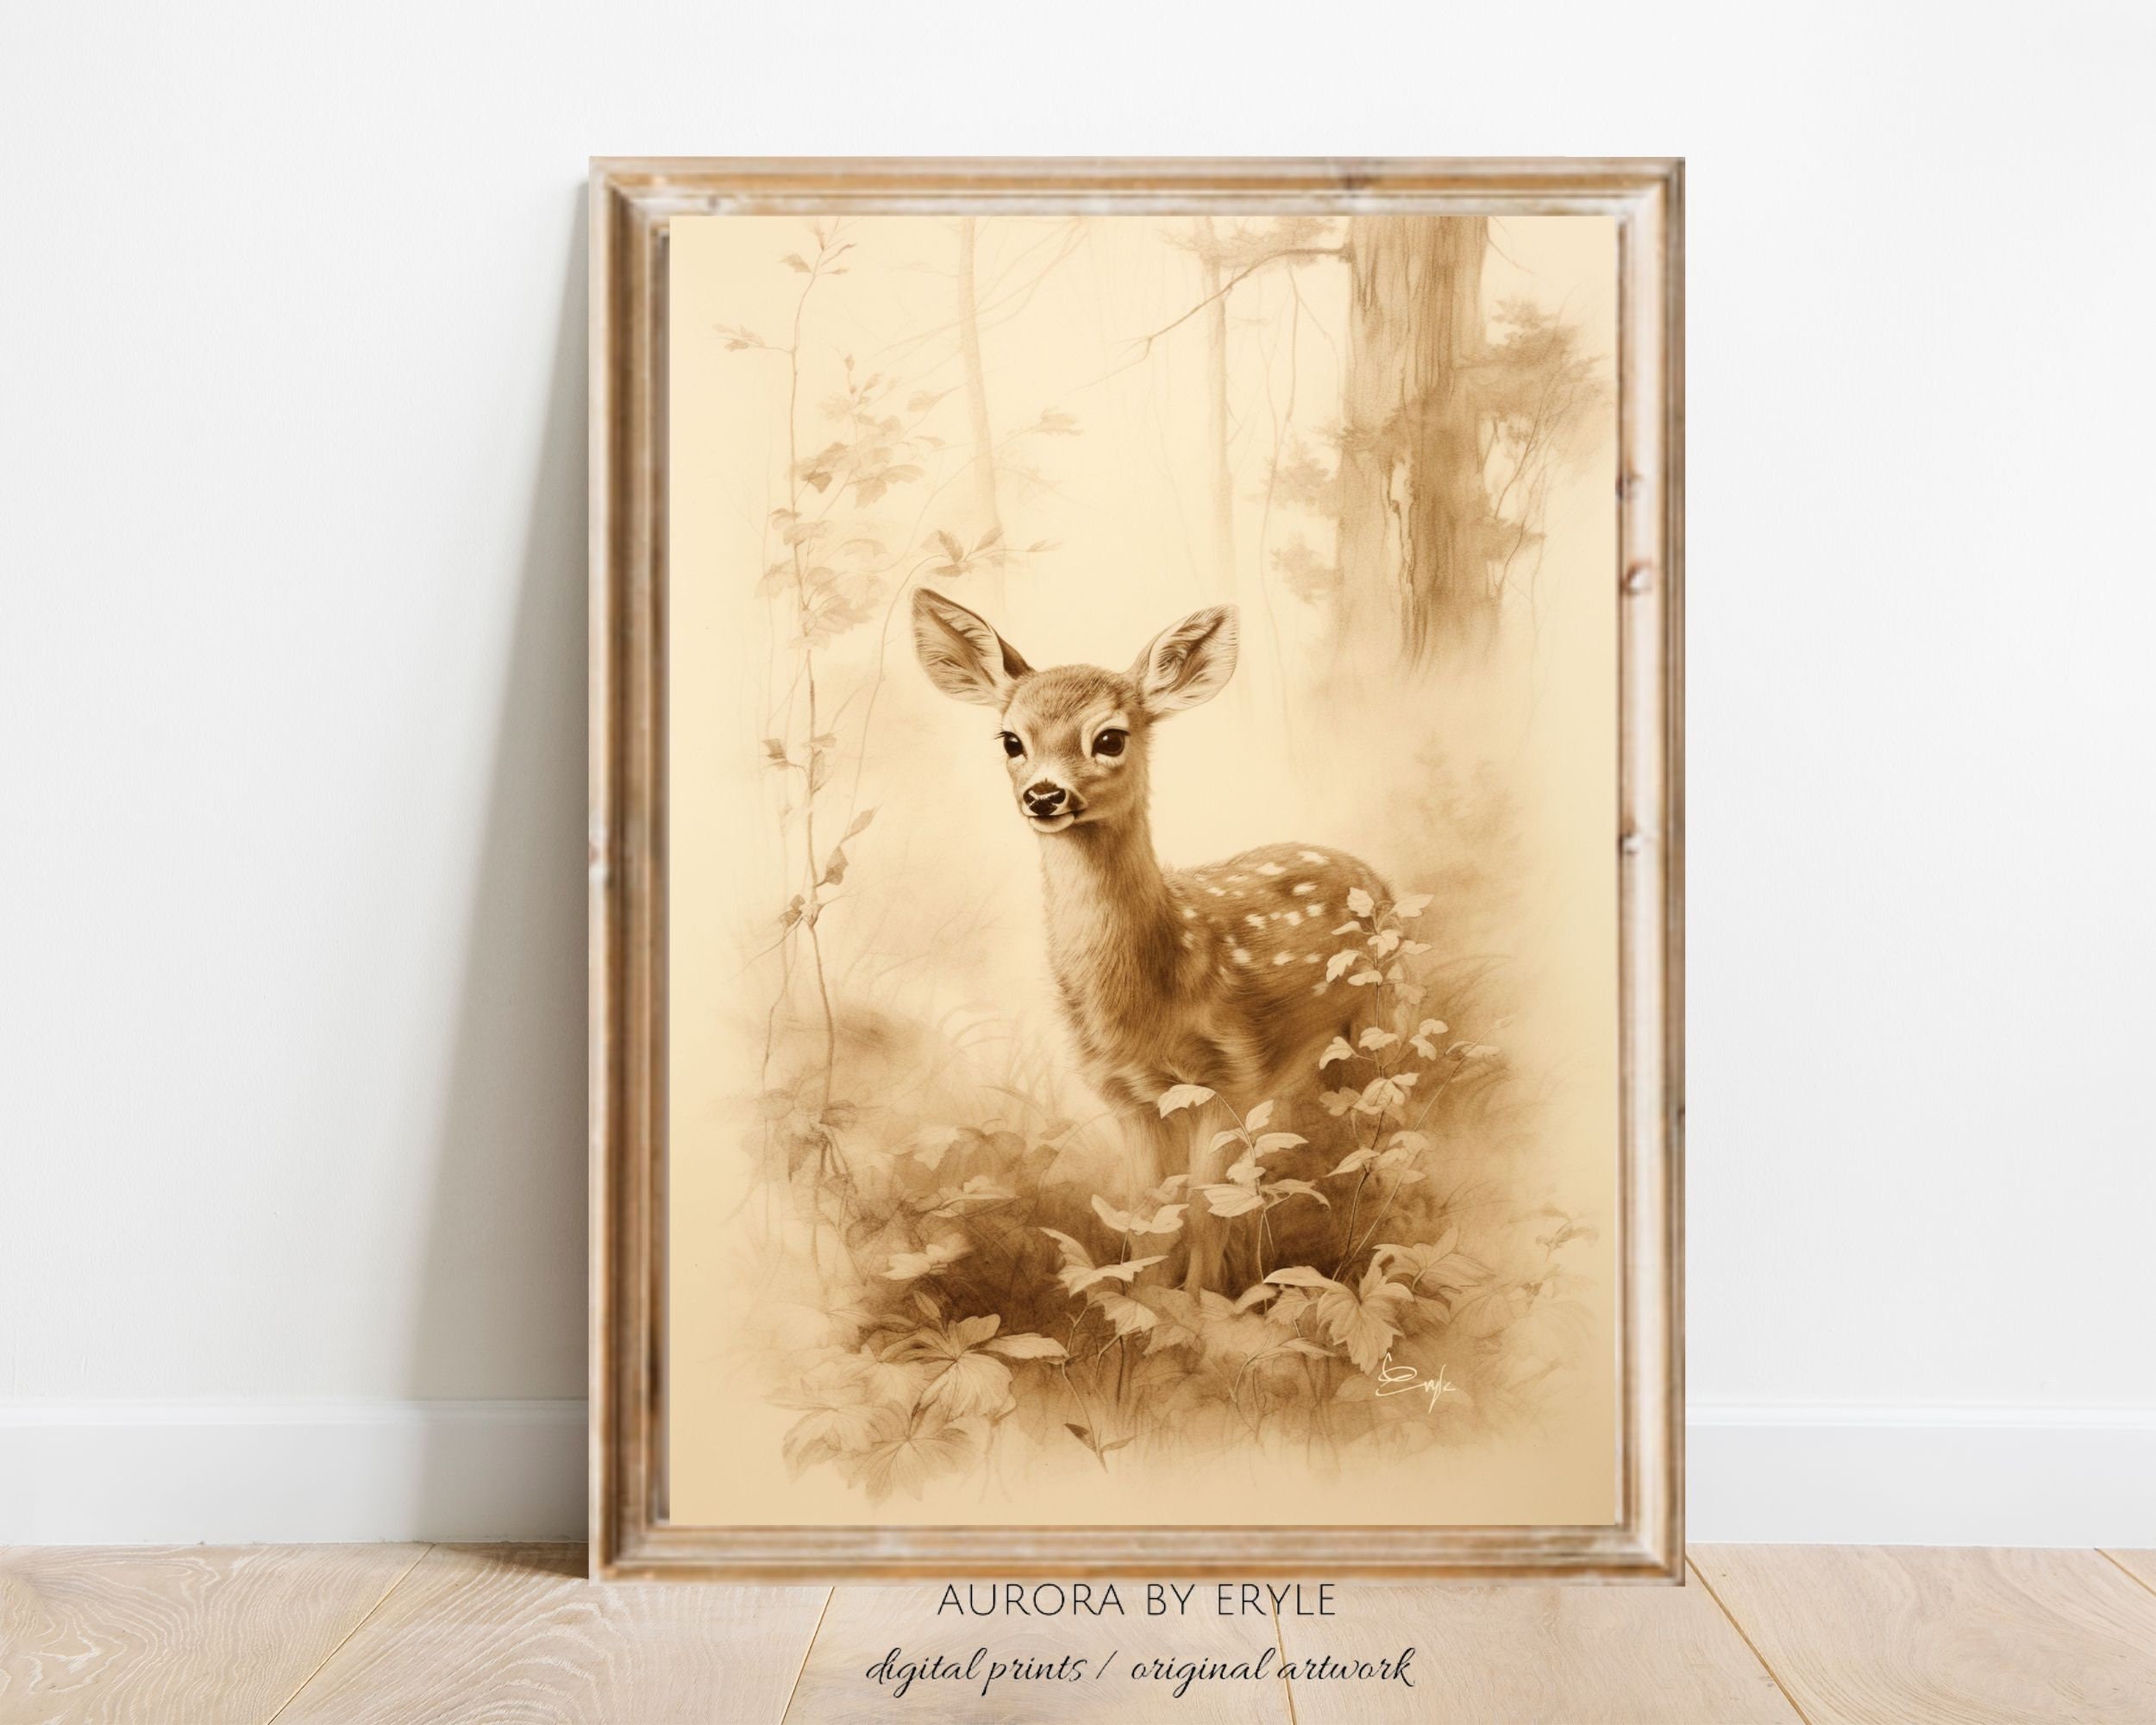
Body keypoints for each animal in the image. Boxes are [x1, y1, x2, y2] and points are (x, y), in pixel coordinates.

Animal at [910, 588, 1392, 1293]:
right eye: (1011, 739)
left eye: (1110, 737)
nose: (1045, 795)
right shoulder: (1128, 1097)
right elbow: (1148, 1213)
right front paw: (1142, 1307)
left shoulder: (1226, 1079)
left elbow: (1204, 1210)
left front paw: (1201, 1310)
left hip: (1387, 1018)